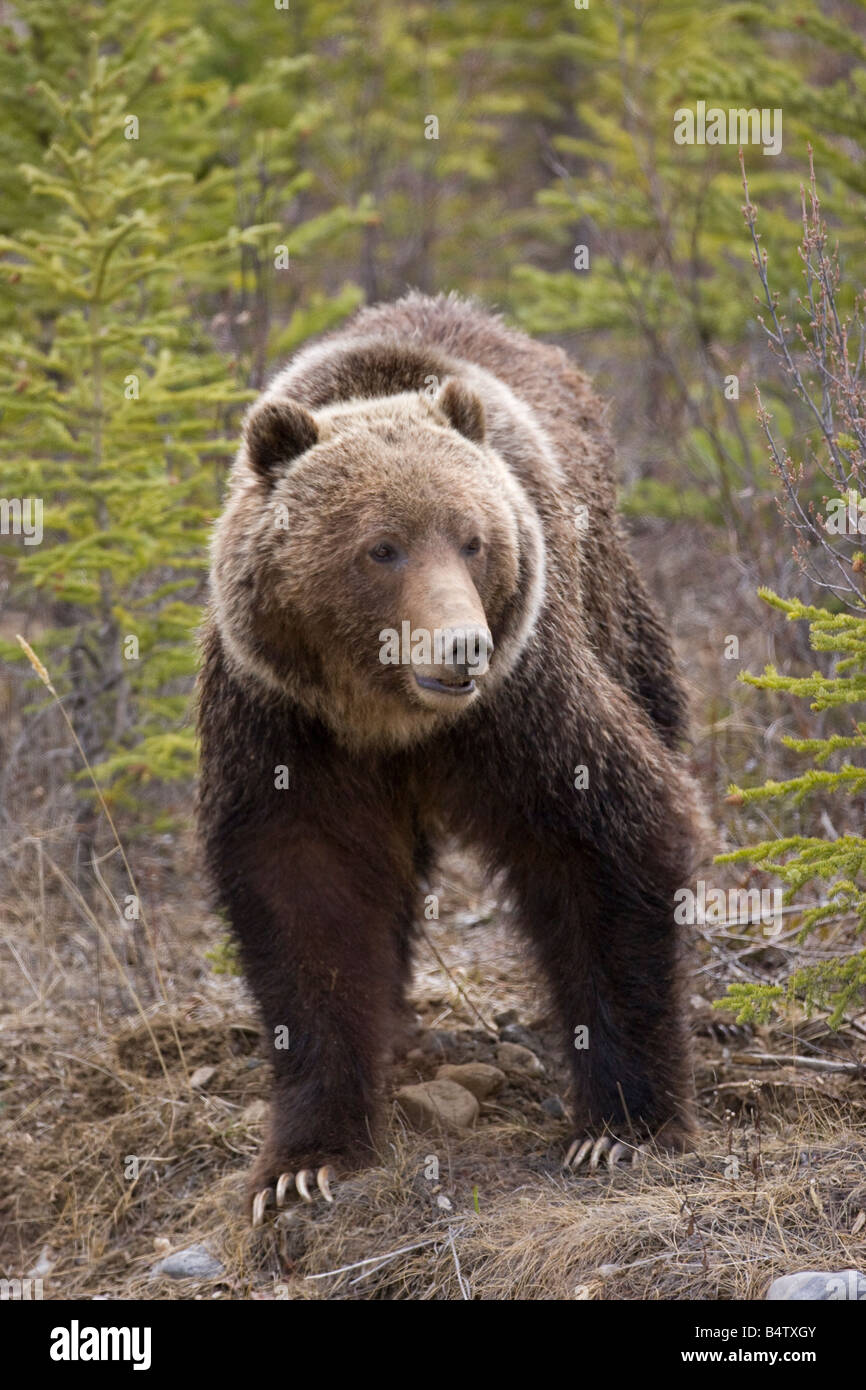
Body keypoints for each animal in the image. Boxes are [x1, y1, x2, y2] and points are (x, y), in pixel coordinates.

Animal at [196, 291, 706, 1221]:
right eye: (381, 547)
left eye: (472, 539)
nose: (462, 645)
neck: (391, 718)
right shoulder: (279, 721)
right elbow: (304, 894)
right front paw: (305, 1163)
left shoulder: (525, 702)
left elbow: (610, 839)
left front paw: (622, 1128)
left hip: (615, 609)